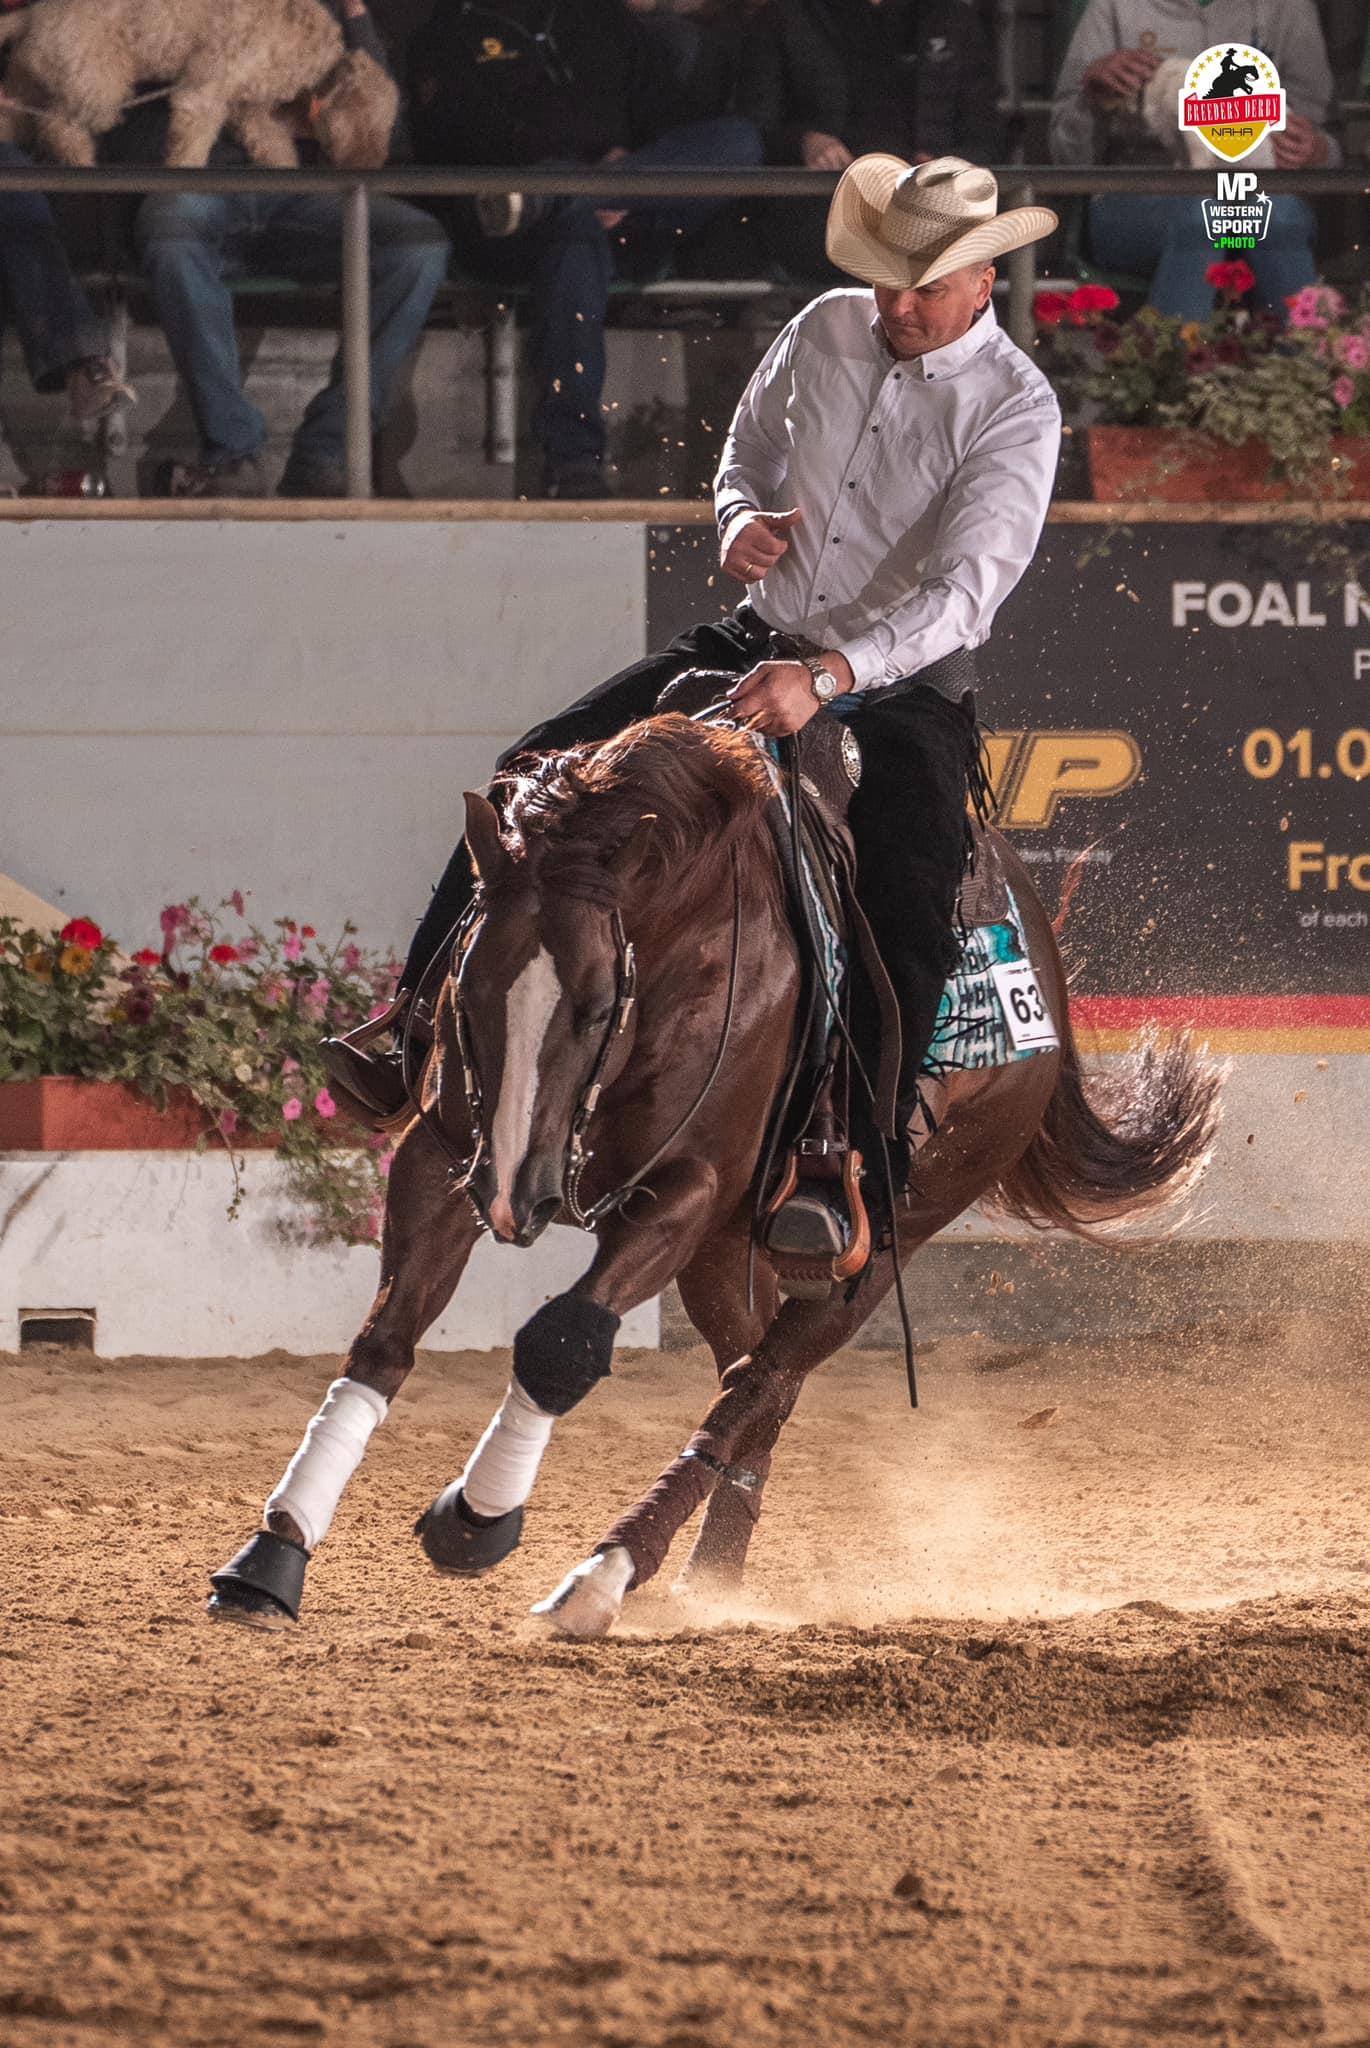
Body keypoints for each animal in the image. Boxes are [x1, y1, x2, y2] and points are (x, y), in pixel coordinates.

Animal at [207, 709, 1219, 1638]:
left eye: (597, 1004)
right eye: (470, 983)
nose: (515, 1198)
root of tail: (1040, 952)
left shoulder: (683, 1190)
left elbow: (560, 1343)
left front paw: (478, 1519)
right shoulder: (445, 1156)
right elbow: (383, 1341)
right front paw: (271, 1557)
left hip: (883, 1235)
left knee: (761, 1382)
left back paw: (605, 1576)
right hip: (727, 1249)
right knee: (750, 1377)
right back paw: (711, 1573)